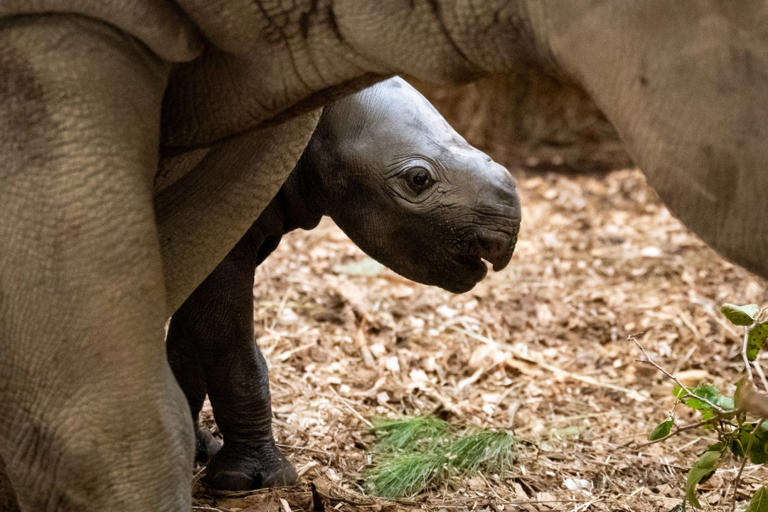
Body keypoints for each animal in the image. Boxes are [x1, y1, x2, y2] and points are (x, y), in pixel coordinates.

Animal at [0, 2, 766, 510]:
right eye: (418, 181)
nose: (508, 228)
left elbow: (196, 340)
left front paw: (210, 460)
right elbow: (229, 345)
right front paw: (254, 484)